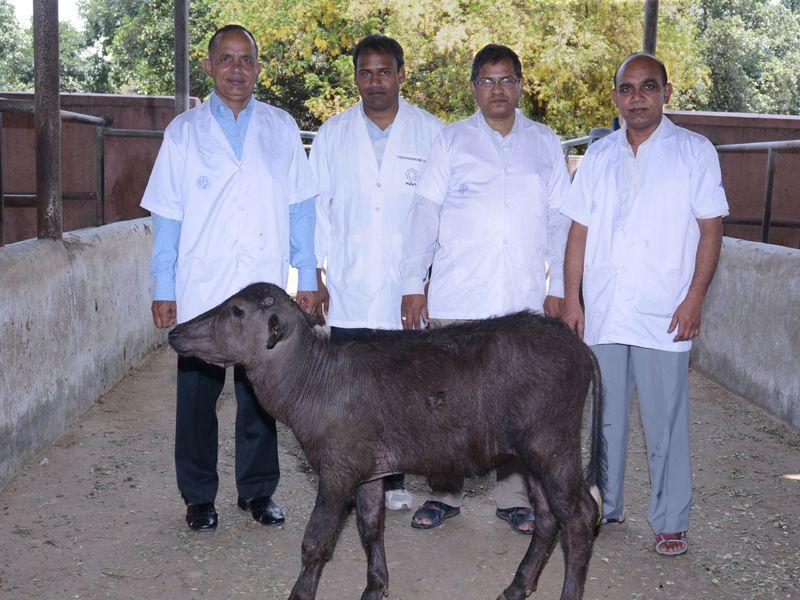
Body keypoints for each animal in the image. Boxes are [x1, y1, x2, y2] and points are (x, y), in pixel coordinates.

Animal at [169, 282, 605, 600]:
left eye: (237, 311)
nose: (175, 330)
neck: (311, 377)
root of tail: (578, 345)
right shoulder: (368, 470)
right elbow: (370, 528)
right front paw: (375, 587)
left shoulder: (336, 470)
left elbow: (316, 541)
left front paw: (300, 594)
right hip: (532, 454)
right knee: (548, 516)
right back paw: (516, 587)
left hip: (552, 444)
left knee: (580, 516)